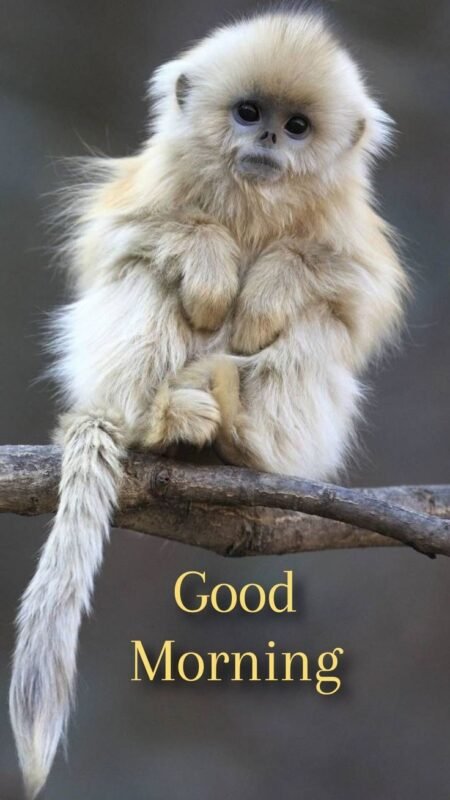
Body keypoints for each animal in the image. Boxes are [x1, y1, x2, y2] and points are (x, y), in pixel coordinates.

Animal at [9, 11, 408, 797]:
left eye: (297, 126)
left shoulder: (352, 236)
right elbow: (120, 240)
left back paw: (239, 436)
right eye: (248, 113)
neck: (252, 201)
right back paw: (163, 422)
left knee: (316, 327)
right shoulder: (144, 188)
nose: (267, 140)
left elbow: (352, 294)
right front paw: (215, 265)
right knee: (143, 277)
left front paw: (265, 292)